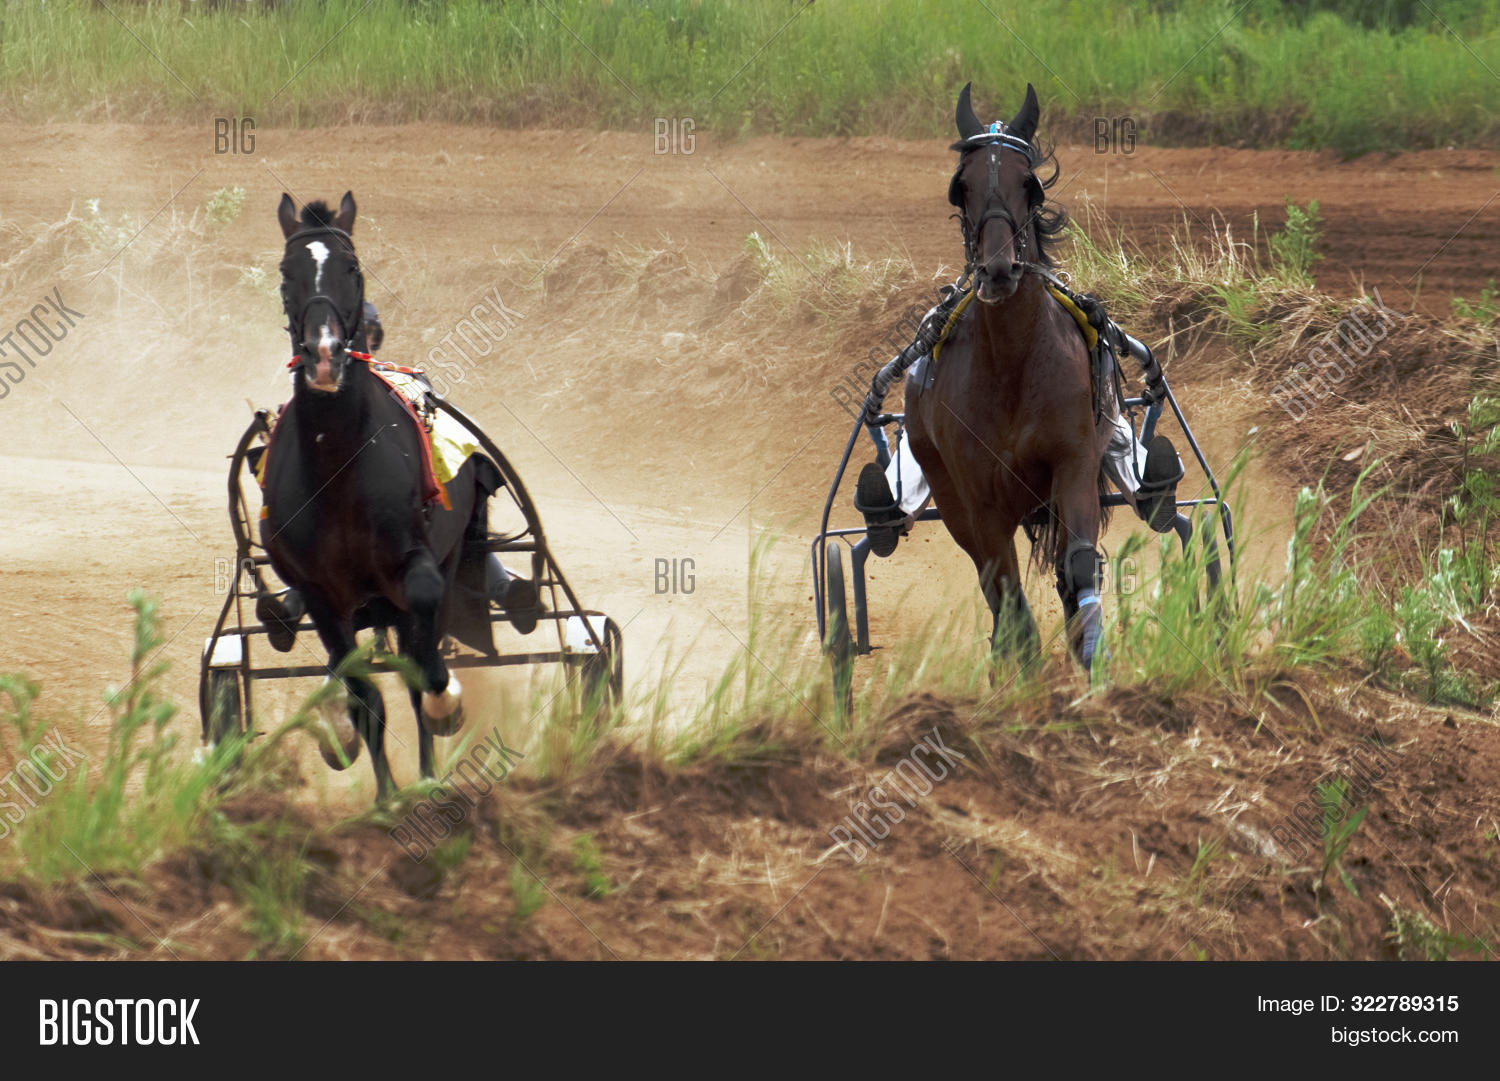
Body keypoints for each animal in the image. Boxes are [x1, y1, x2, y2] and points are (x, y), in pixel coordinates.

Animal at [261, 191, 492, 800]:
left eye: (352, 267)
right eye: (285, 273)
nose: (323, 355)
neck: (339, 468)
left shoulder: (414, 561)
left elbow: (423, 661)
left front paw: (443, 708)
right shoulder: (322, 595)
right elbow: (363, 695)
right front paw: (384, 795)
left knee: (419, 648)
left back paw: (431, 768)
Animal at [904, 84, 1113, 670]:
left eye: (1029, 184)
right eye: (961, 189)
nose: (998, 270)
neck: (1014, 366)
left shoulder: (1075, 464)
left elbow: (1078, 566)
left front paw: (1093, 662)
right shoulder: (980, 501)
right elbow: (1008, 595)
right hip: (952, 501)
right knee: (994, 587)